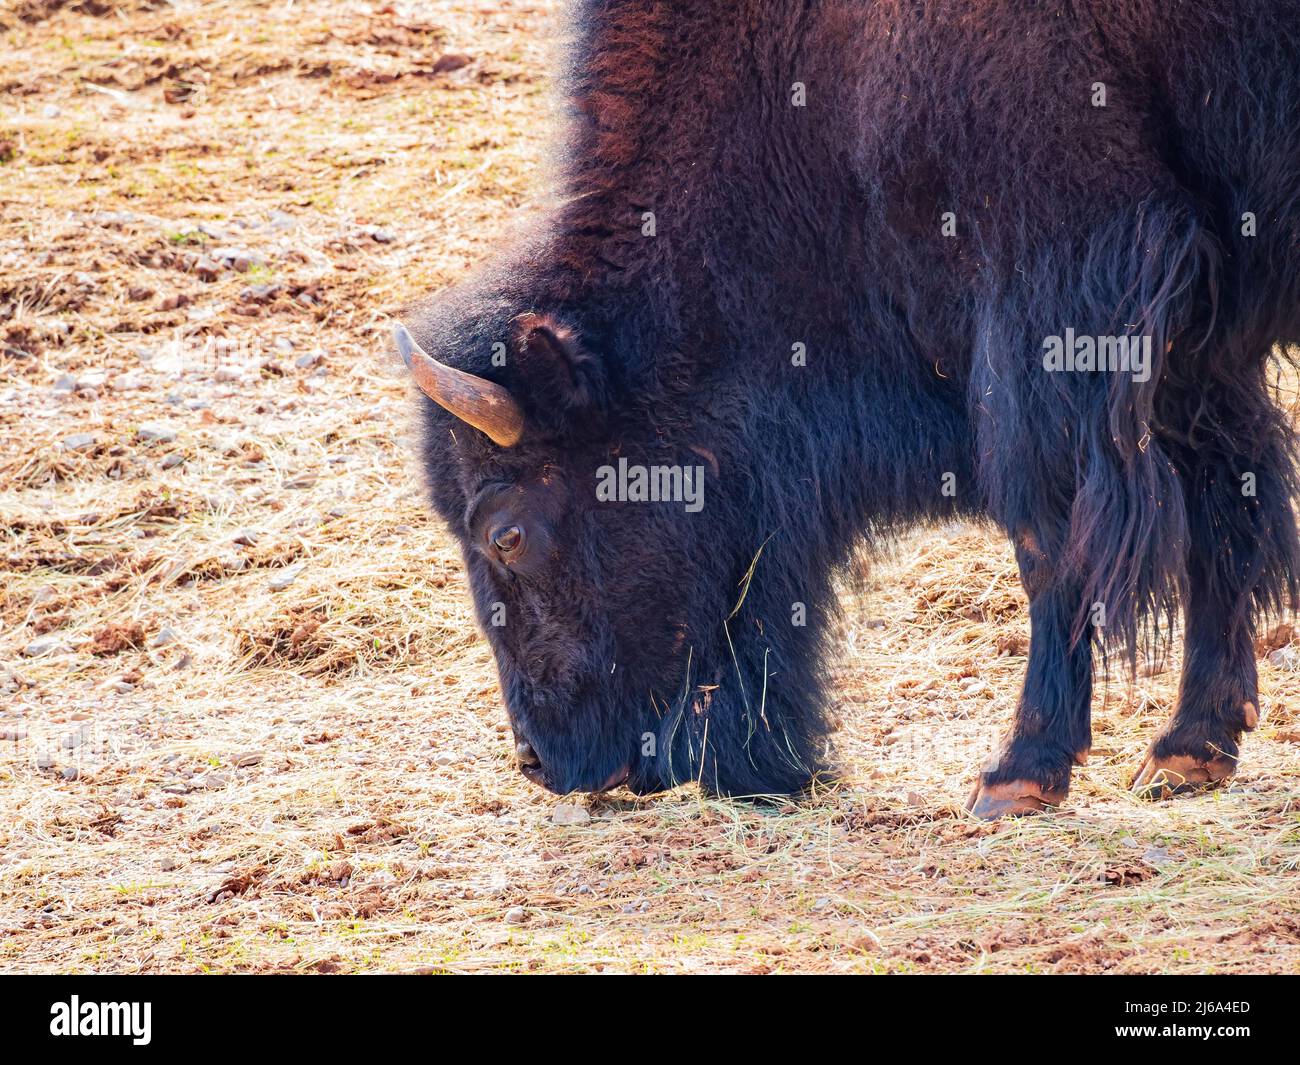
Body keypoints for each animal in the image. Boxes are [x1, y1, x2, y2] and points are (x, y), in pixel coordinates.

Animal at [398, 0, 1300, 815]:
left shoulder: (1056, 304)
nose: (537, 762)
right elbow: (1227, 499)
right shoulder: (1196, 327)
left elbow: (1050, 535)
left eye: (506, 532)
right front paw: (1190, 748)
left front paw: (1017, 775)